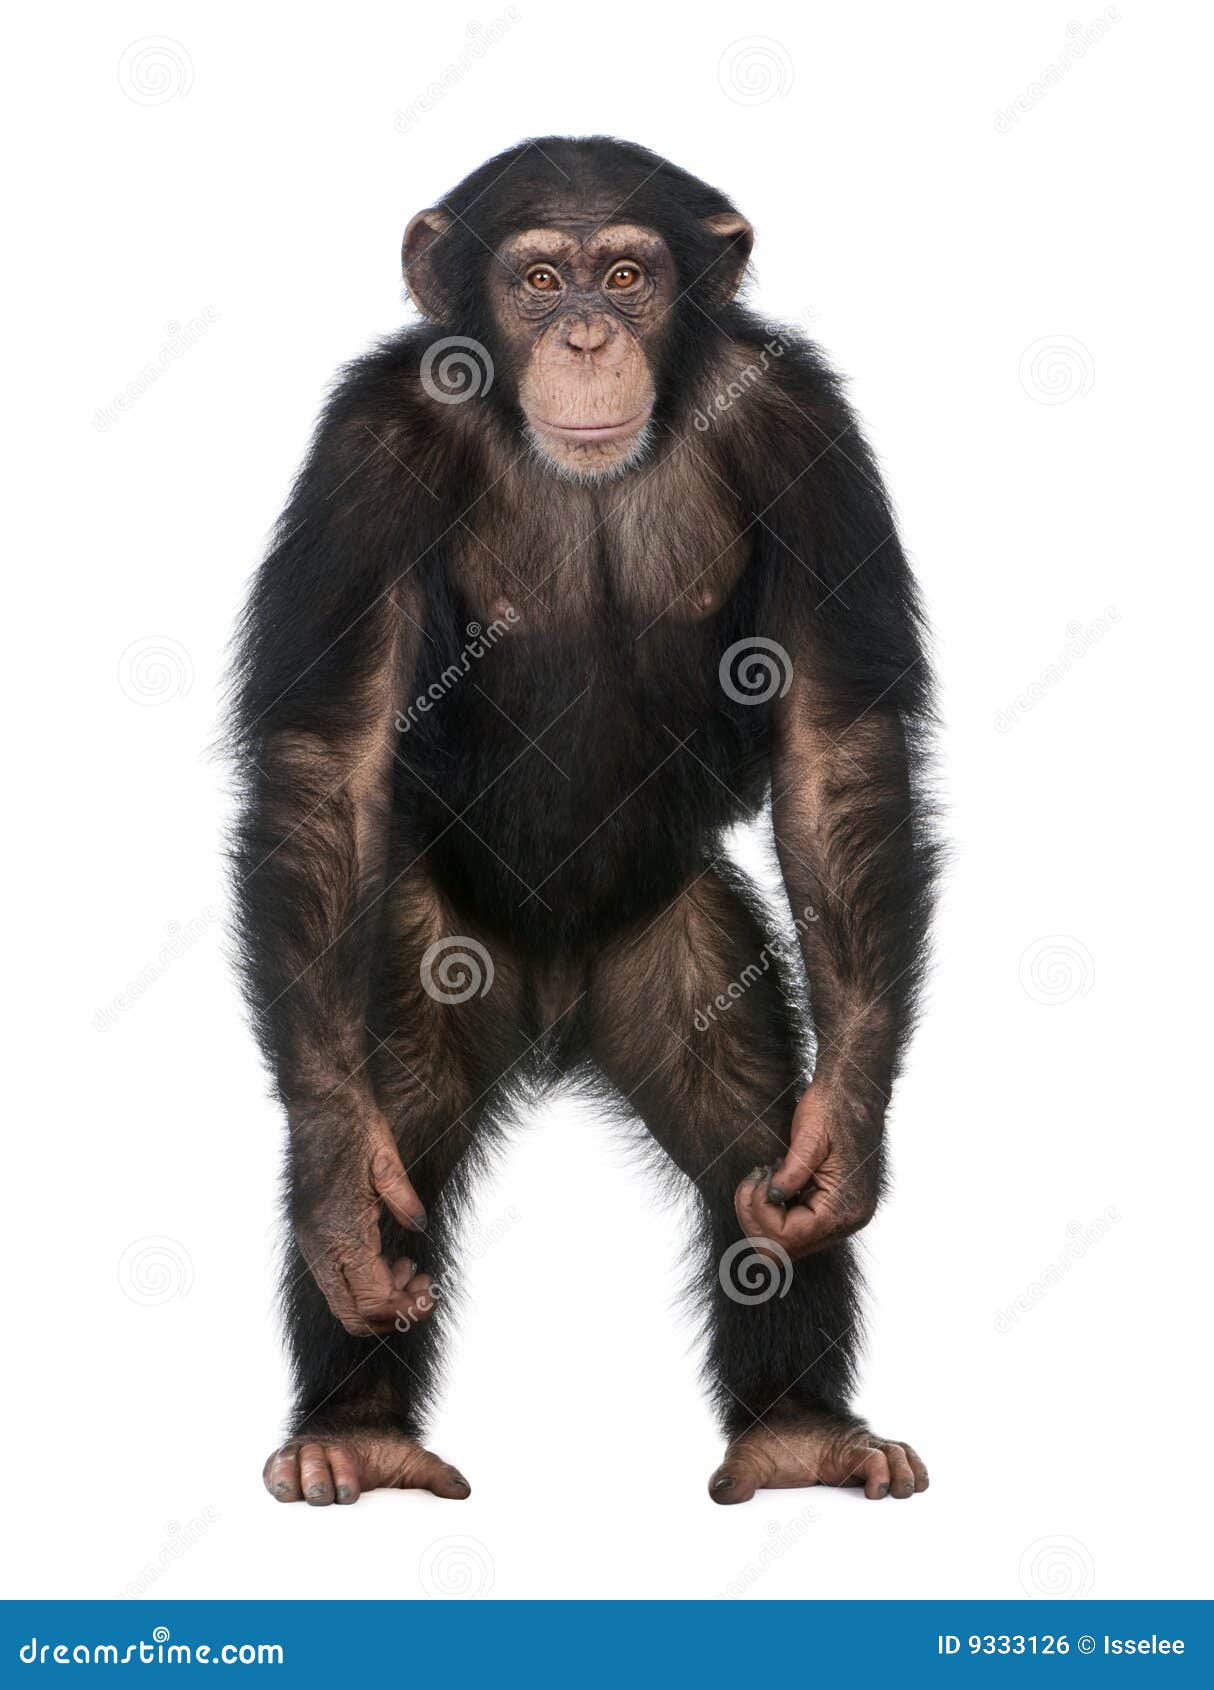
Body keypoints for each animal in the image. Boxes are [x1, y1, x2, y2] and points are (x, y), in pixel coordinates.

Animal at [230, 136, 938, 1507]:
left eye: (624, 272)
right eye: (538, 278)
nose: (589, 334)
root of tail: (557, 1018)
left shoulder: (802, 425)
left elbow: (835, 743)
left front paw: (846, 1134)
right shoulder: (367, 448)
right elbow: (327, 761)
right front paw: (337, 1192)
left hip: (683, 952)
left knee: (742, 1146)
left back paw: (797, 1426)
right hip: (429, 956)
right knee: (398, 1119)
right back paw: (356, 1427)